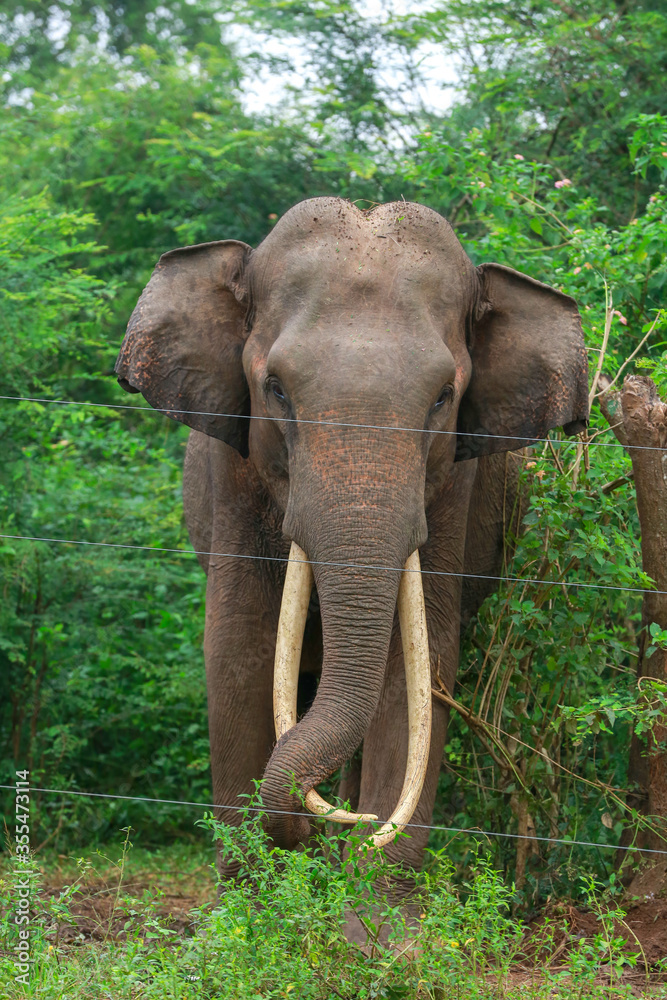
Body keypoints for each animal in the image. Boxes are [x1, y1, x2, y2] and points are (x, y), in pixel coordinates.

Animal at [115, 197, 588, 896]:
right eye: (276, 388)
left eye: (444, 396)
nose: (315, 826)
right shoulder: (234, 474)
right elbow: (238, 648)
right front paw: (251, 905)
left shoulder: (452, 485)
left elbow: (415, 665)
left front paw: (374, 909)